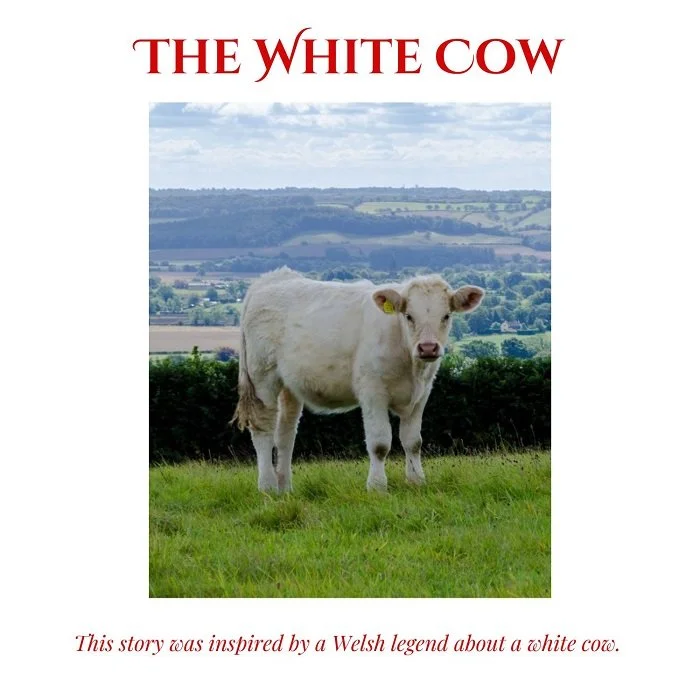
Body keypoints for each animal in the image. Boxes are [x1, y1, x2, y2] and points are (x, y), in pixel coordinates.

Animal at [232, 267, 484, 492]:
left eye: (446, 316)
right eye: (409, 316)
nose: (428, 347)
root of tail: (271, 278)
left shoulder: (422, 394)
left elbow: (413, 441)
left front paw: (416, 481)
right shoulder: (373, 392)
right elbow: (380, 443)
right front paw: (377, 487)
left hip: (289, 387)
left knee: (285, 434)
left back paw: (285, 488)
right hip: (262, 379)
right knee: (263, 430)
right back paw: (267, 486)